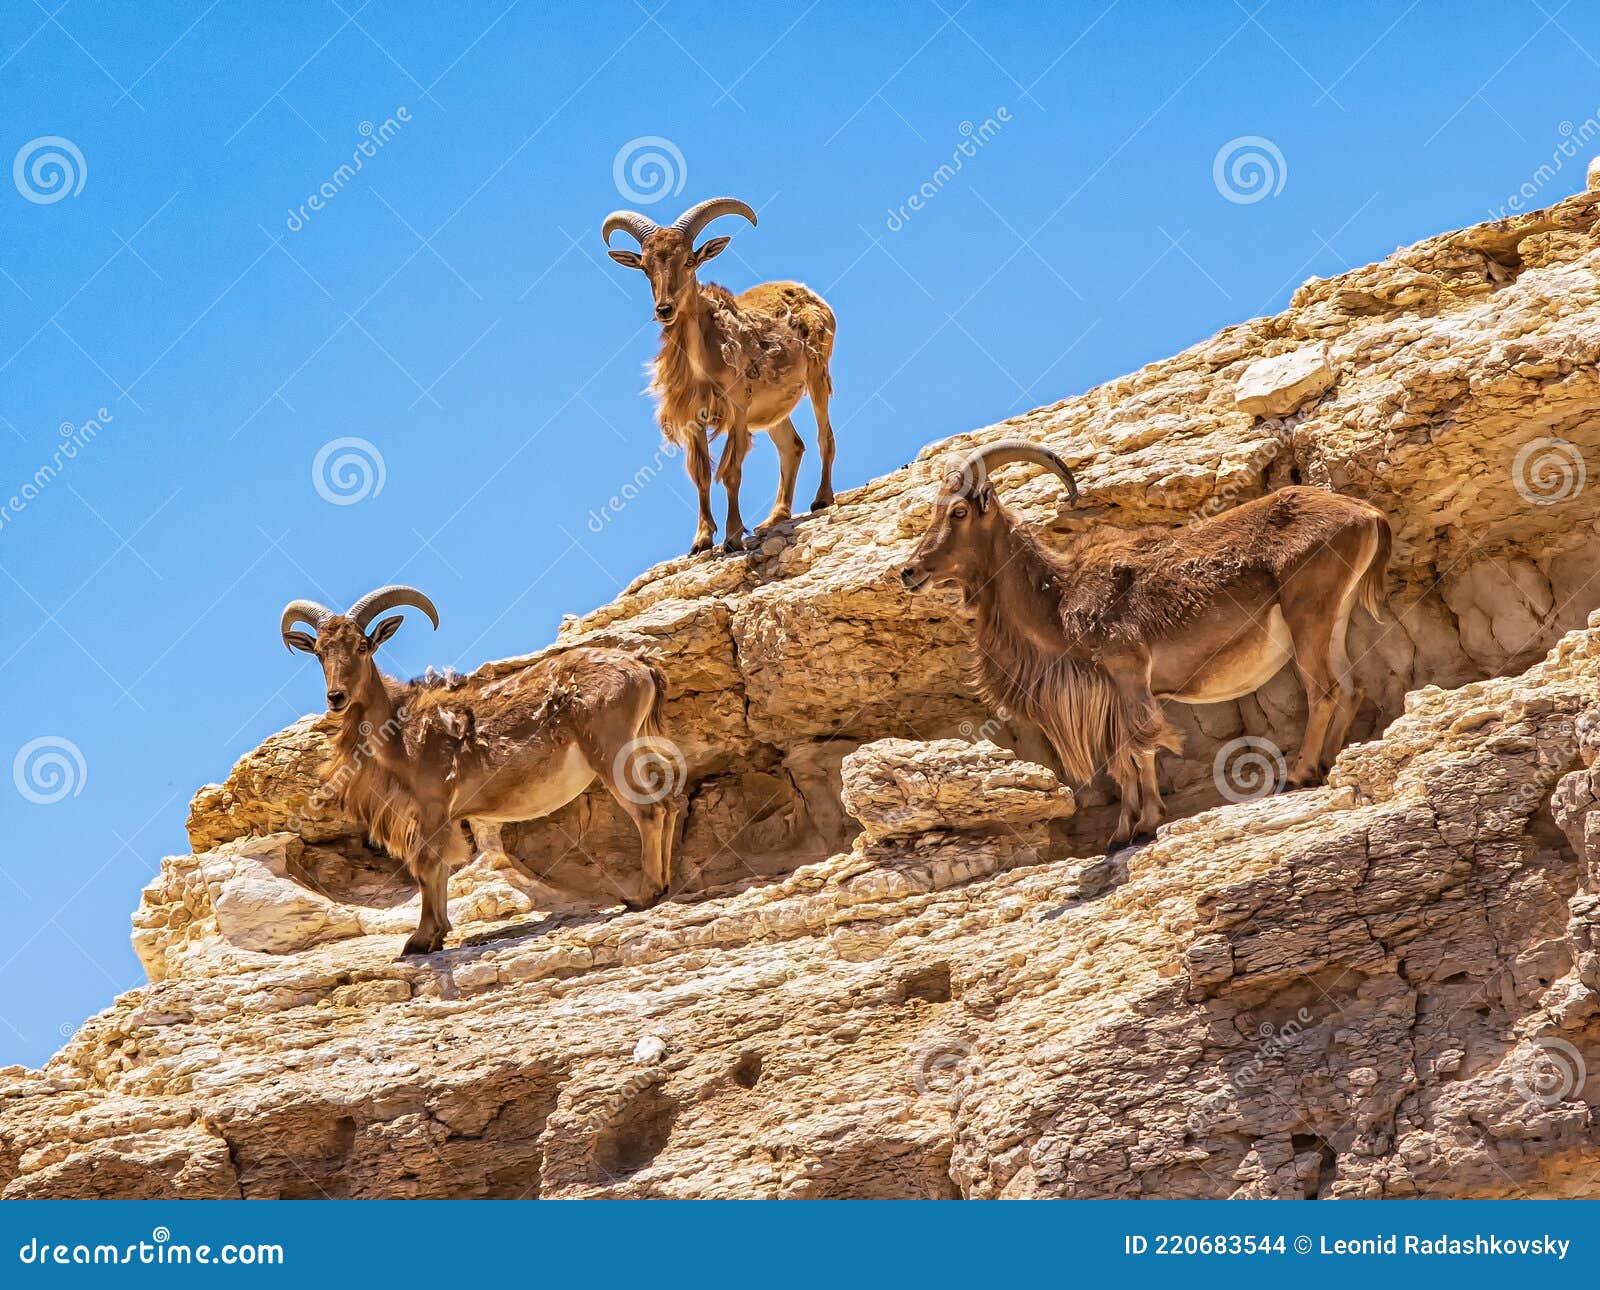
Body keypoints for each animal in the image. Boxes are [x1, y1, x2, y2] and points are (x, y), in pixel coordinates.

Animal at [280, 585, 681, 957]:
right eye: (320, 653)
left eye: (363, 646)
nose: (336, 697)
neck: (397, 731)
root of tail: (642, 666)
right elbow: (438, 867)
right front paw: (437, 935)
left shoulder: (433, 805)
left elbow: (428, 864)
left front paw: (420, 939)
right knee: (668, 804)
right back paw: (664, 885)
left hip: (610, 753)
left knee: (648, 810)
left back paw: (645, 894)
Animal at [602, 196, 837, 554]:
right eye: (645, 267)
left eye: (689, 261)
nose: (664, 309)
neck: (702, 362)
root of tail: (811, 295)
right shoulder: (693, 417)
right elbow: (700, 474)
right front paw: (701, 540)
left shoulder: (737, 409)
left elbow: (731, 471)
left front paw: (732, 536)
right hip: (772, 410)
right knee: (792, 447)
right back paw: (775, 516)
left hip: (817, 375)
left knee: (825, 436)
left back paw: (822, 499)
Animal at [899, 441, 1392, 848]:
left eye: (958, 512)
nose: (909, 571)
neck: (1058, 598)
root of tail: (1366, 514)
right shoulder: (1111, 693)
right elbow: (1122, 761)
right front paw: (1122, 832)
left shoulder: (1128, 673)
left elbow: (1142, 745)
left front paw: (1148, 822)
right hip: (1335, 617)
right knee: (1351, 687)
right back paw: (1326, 762)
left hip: (1307, 614)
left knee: (1323, 689)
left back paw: (1300, 773)